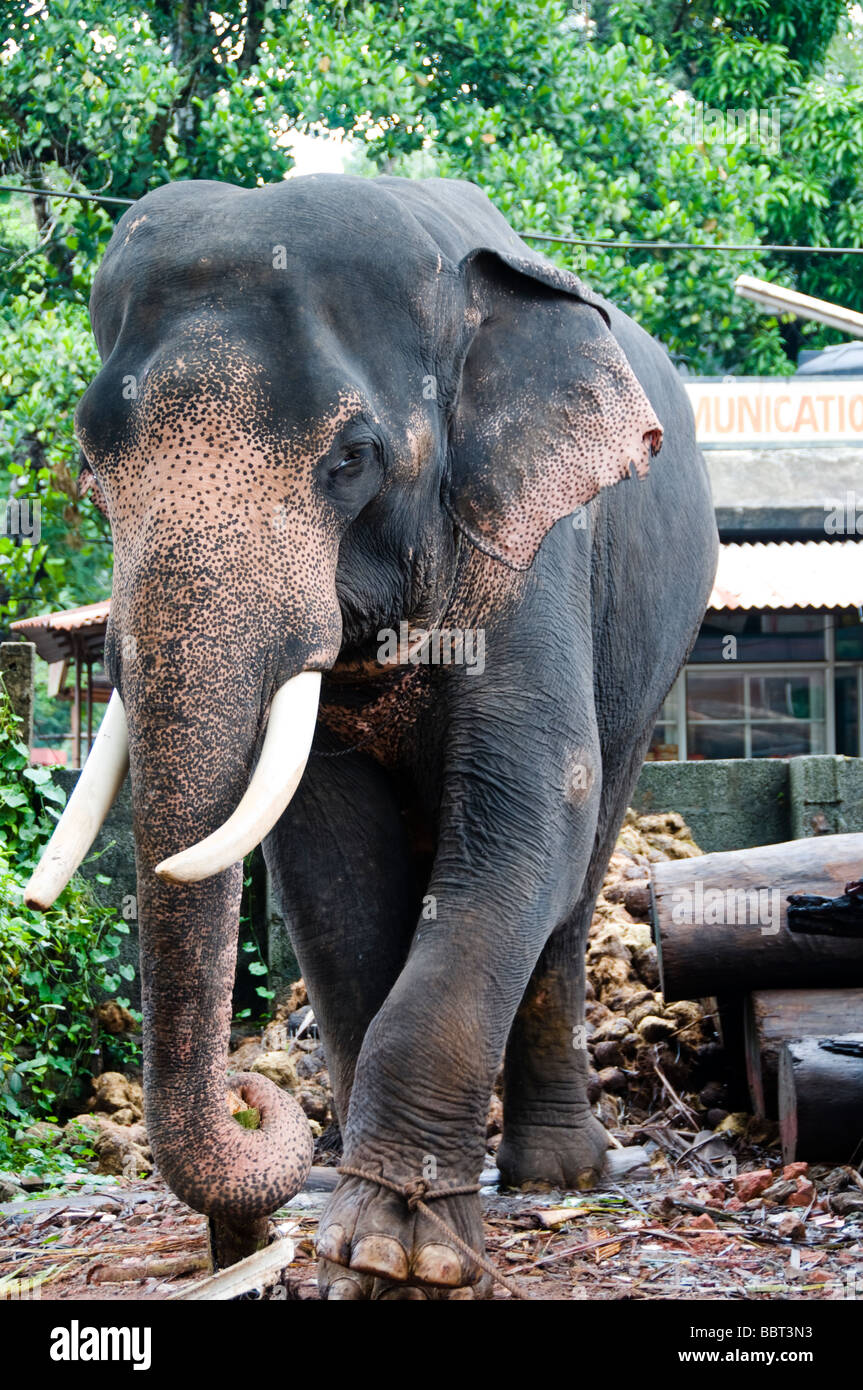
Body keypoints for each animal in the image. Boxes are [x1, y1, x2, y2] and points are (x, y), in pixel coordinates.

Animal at [26, 173, 718, 1298]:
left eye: (351, 459)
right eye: (89, 463)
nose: (255, 1105)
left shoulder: (532, 544)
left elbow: (534, 805)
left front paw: (394, 1254)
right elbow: (328, 864)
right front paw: (352, 1242)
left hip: (659, 643)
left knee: (577, 867)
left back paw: (558, 1174)